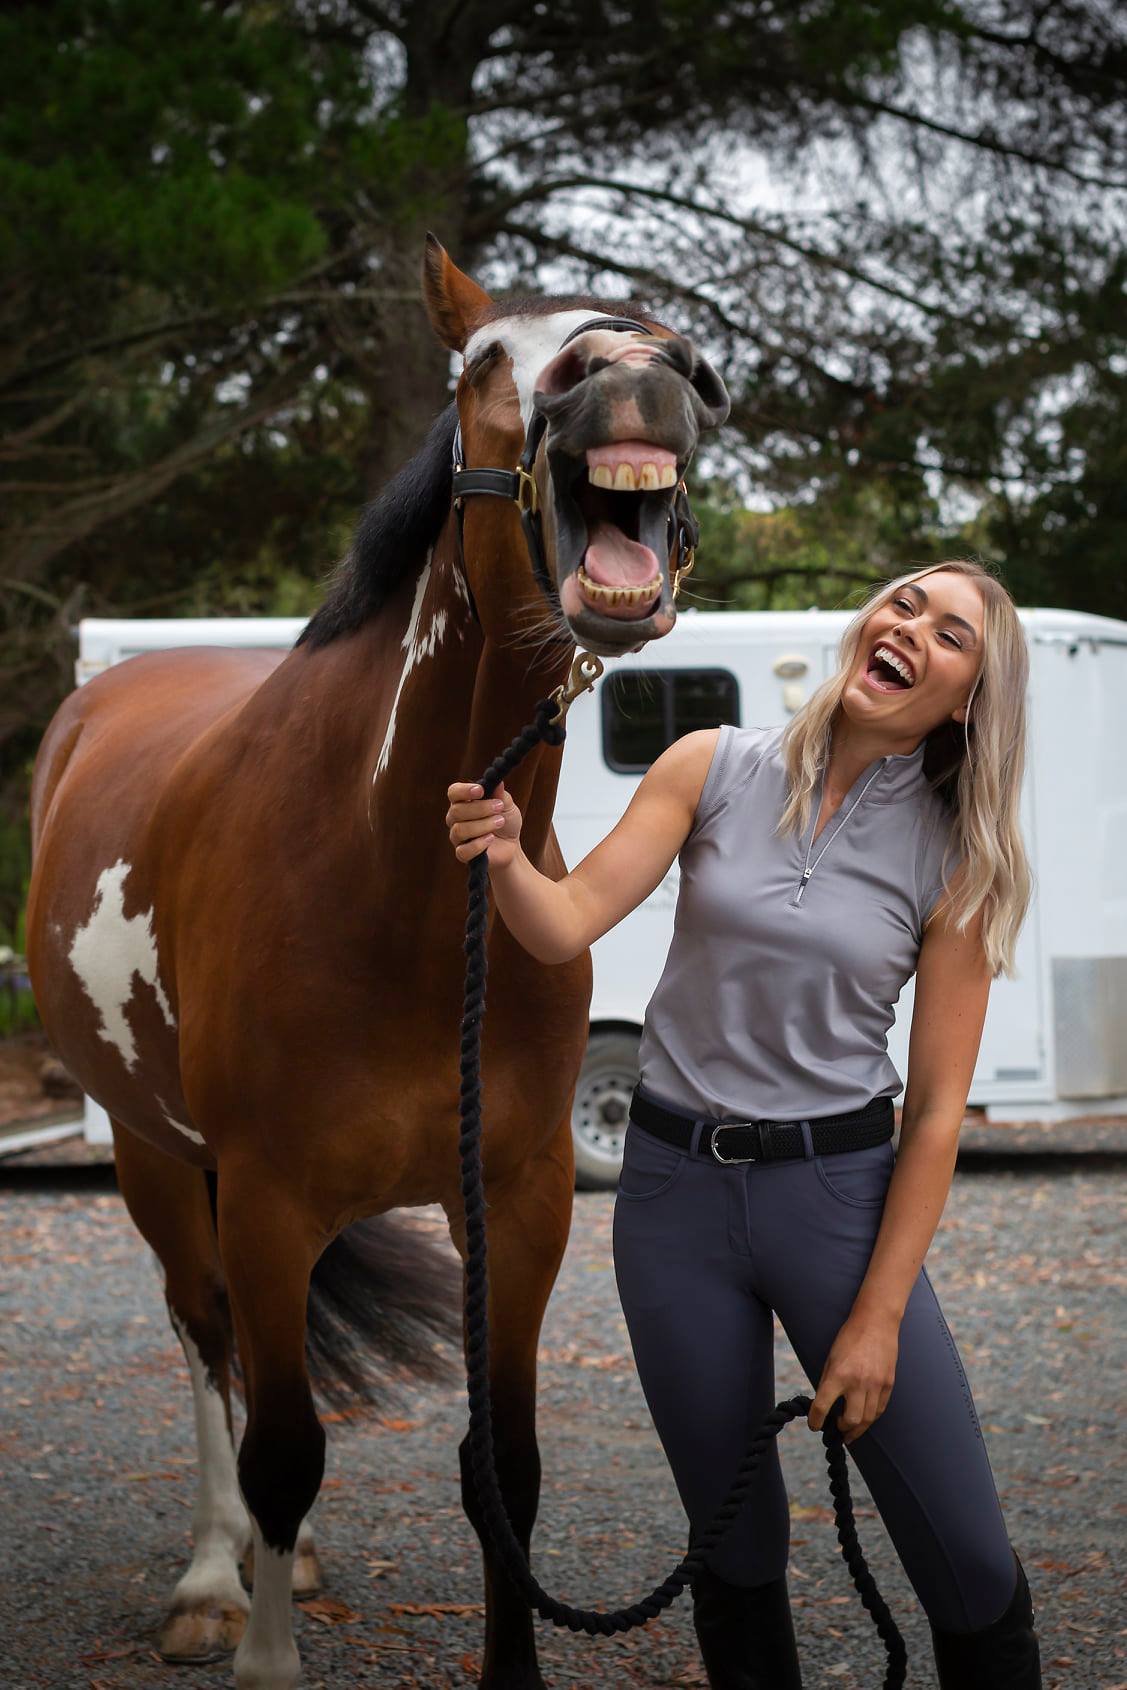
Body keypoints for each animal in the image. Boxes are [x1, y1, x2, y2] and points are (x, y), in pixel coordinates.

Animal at [25, 233, 730, 1690]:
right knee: (209, 1346)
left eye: (659, 331)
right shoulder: (267, 1194)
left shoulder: (517, 1201)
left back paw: (282, 1562)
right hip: (159, 1158)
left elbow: (503, 1469)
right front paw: (260, 1649)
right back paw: (213, 1577)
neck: (399, 887)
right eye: (484, 363)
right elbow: (283, 1446)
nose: (635, 377)